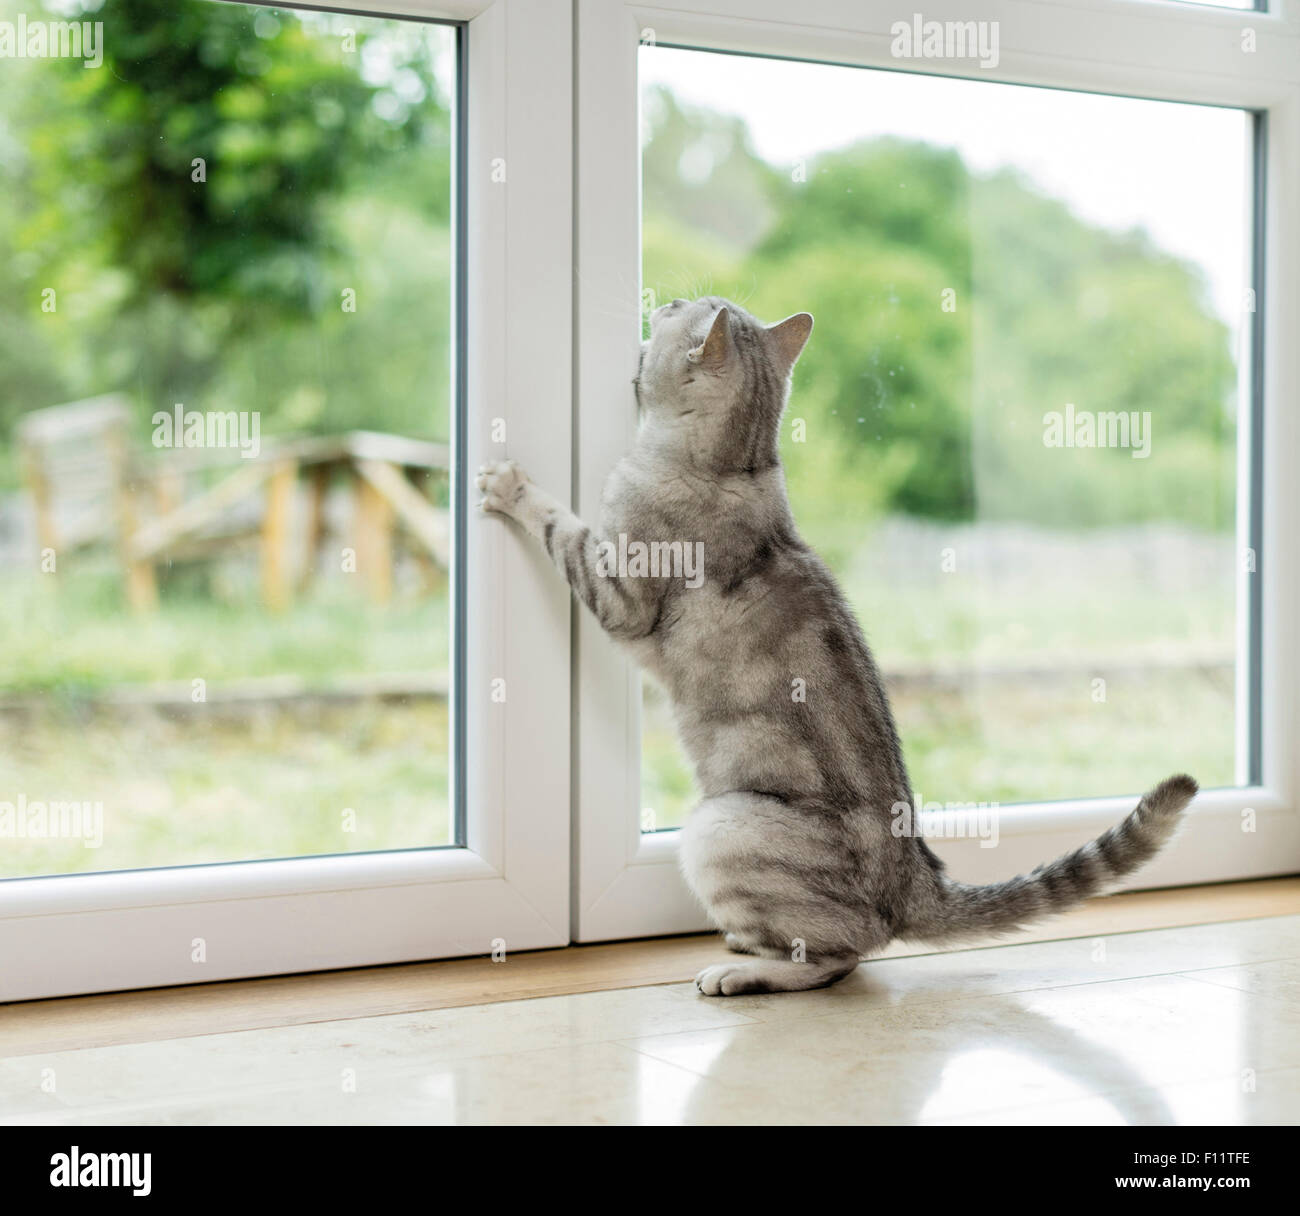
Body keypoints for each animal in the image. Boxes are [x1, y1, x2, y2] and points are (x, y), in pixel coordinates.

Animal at [480, 297, 1196, 998]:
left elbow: (559, 525)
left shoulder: (618, 590)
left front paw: (509, 486)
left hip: (719, 828)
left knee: (840, 956)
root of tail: (917, 881)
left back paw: (742, 971)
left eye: (684, 308)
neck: (741, 463)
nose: (666, 298)